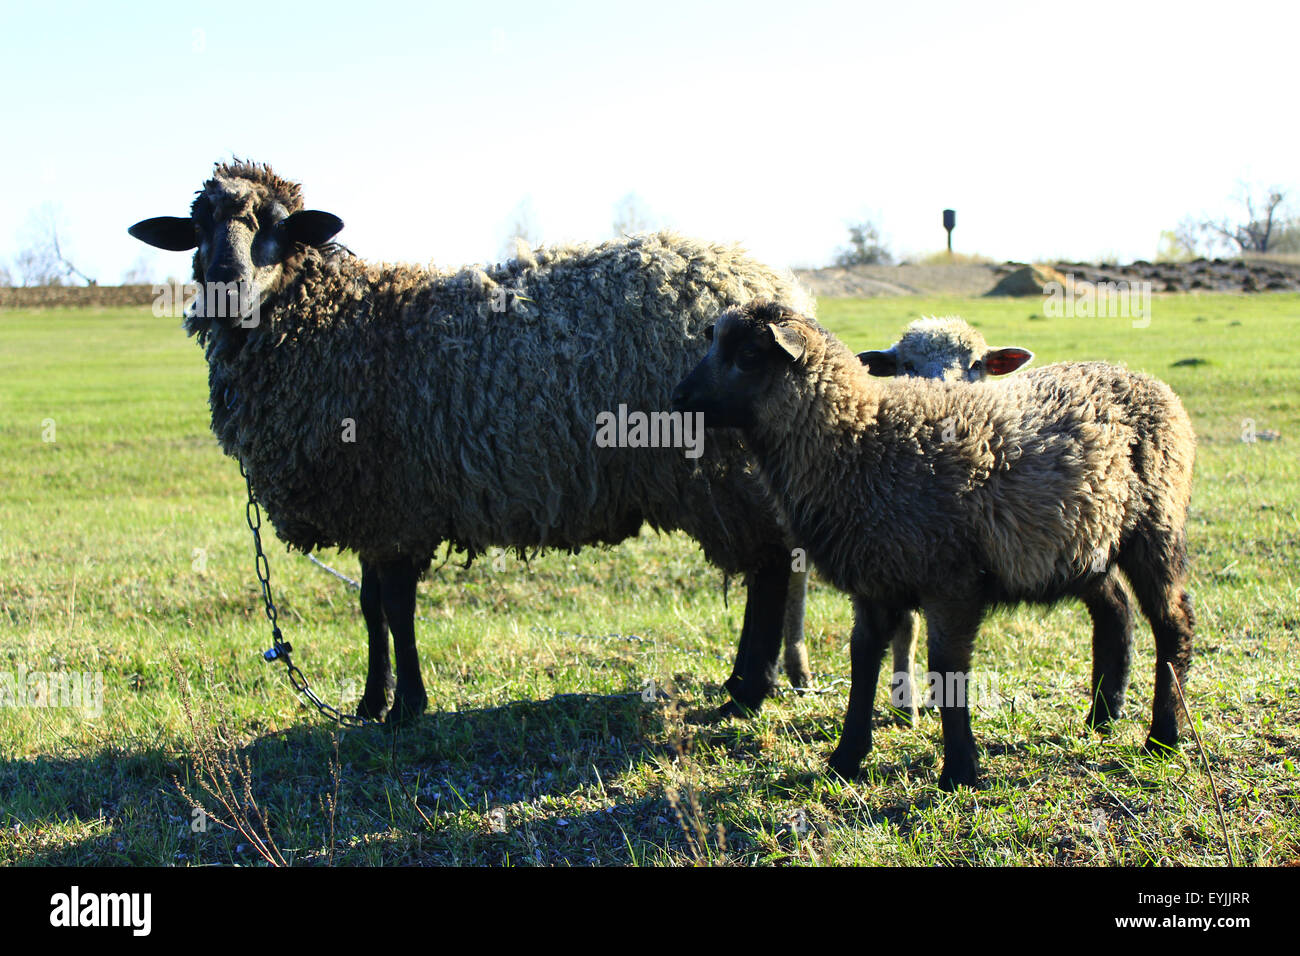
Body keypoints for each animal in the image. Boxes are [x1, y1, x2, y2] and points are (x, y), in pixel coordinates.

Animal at [128, 160, 816, 725]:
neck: (343, 325)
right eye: (198, 226)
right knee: (771, 567)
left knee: (769, 568)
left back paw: (747, 690)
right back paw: (744, 684)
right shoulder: (375, 510)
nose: (227, 286)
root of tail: (768, 282)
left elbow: (396, 607)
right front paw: (371, 702)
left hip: (721, 474)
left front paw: (407, 707)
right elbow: (370, 607)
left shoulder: (399, 509)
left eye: (276, 225)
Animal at [671, 301, 1196, 790]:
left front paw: (960, 771)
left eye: (748, 355)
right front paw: (845, 760)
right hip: (1084, 543)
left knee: (1173, 621)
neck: (861, 440)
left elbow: (947, 667)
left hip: (1156, 526)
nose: (679, 397)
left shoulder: (952, 580)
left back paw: (1163, 737)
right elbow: (863, 660)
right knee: (1115, 610)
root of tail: (1143, 378)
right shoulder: (873, 580)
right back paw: (1102, 717)